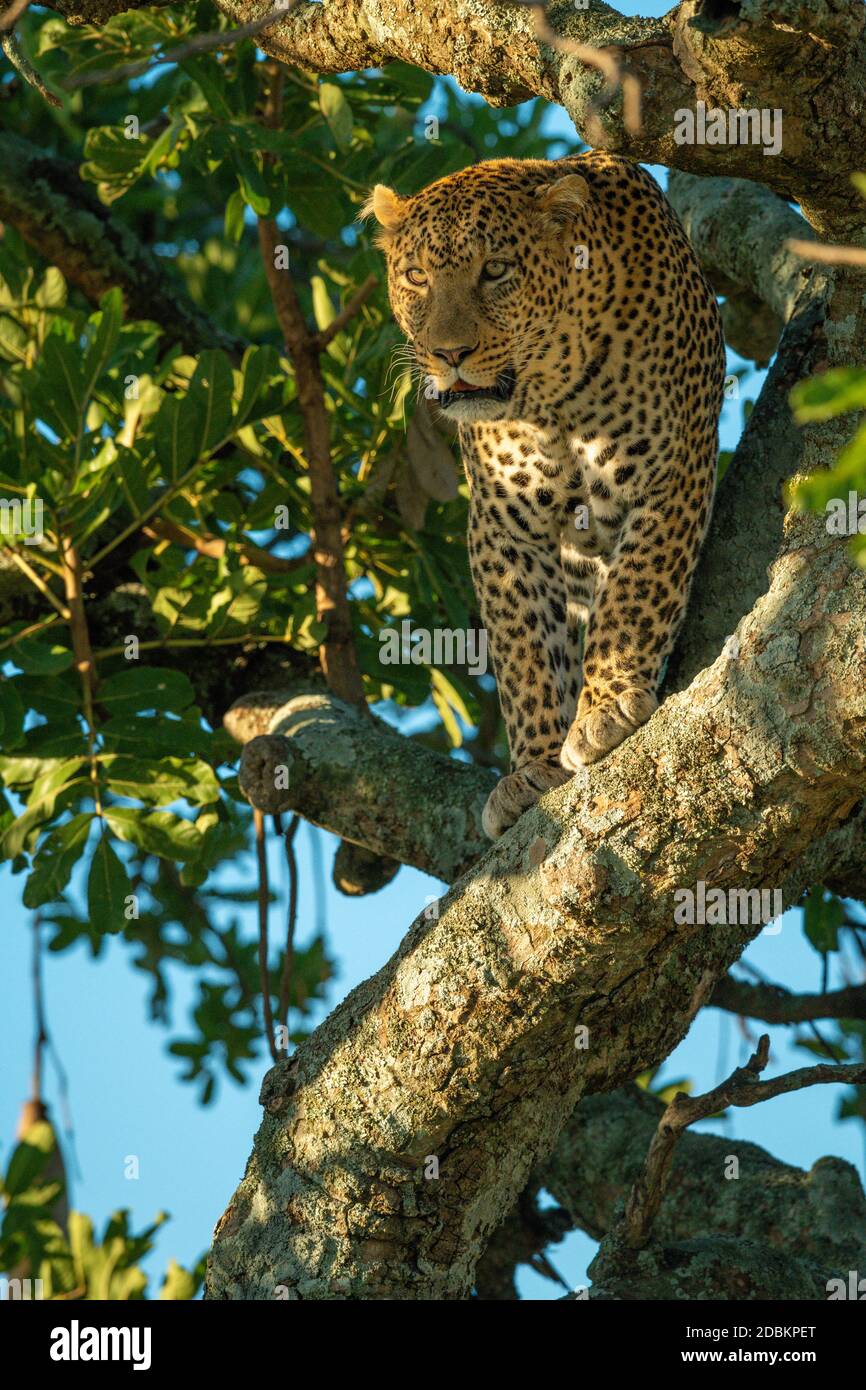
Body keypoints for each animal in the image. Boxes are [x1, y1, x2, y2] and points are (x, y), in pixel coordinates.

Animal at [363, 152, 726, 839]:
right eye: (418, 277)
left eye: (496, 270)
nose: (449, 353)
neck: (553, 395)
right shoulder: (501, 527)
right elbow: (525, 650)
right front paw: (532, 767)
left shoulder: (673, 471)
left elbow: (635, 592)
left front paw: (605, 709)